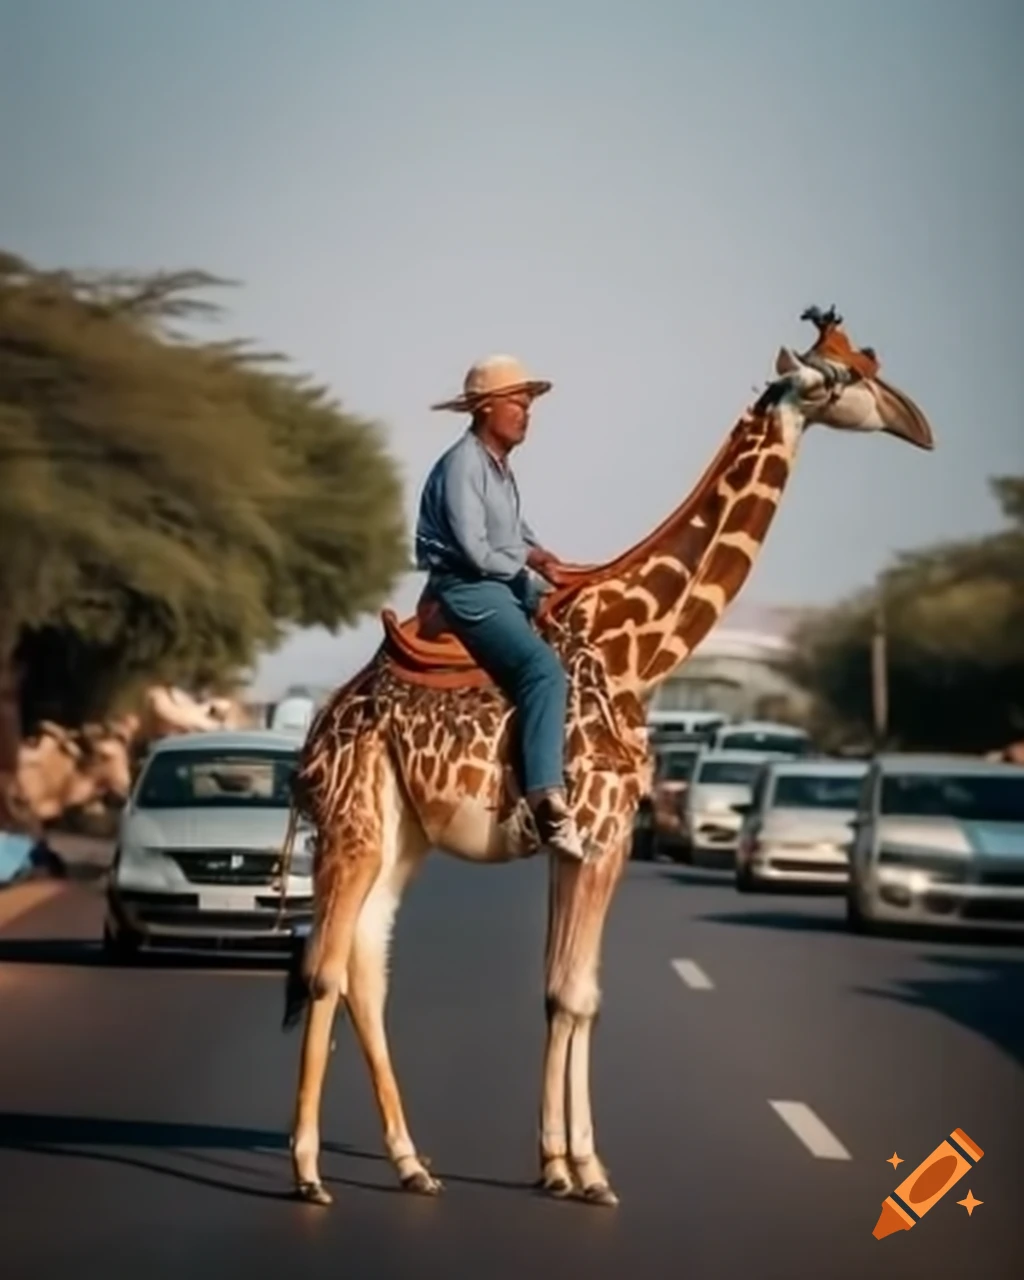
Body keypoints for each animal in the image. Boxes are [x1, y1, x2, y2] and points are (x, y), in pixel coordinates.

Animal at [279, 311, 935, 1208]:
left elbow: (565, 993)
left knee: (365, 970)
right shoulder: (604, 832)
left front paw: (559, 1165)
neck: (642, 656)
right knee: (323, 970)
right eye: (842, 376)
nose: (919, 426)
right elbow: (576, 992)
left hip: (400, 834)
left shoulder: (584, 837)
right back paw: (309, 1172)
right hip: (352, 824)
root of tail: (316, 735)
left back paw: (413, 1164)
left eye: (864, 362)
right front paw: (587, 1172)